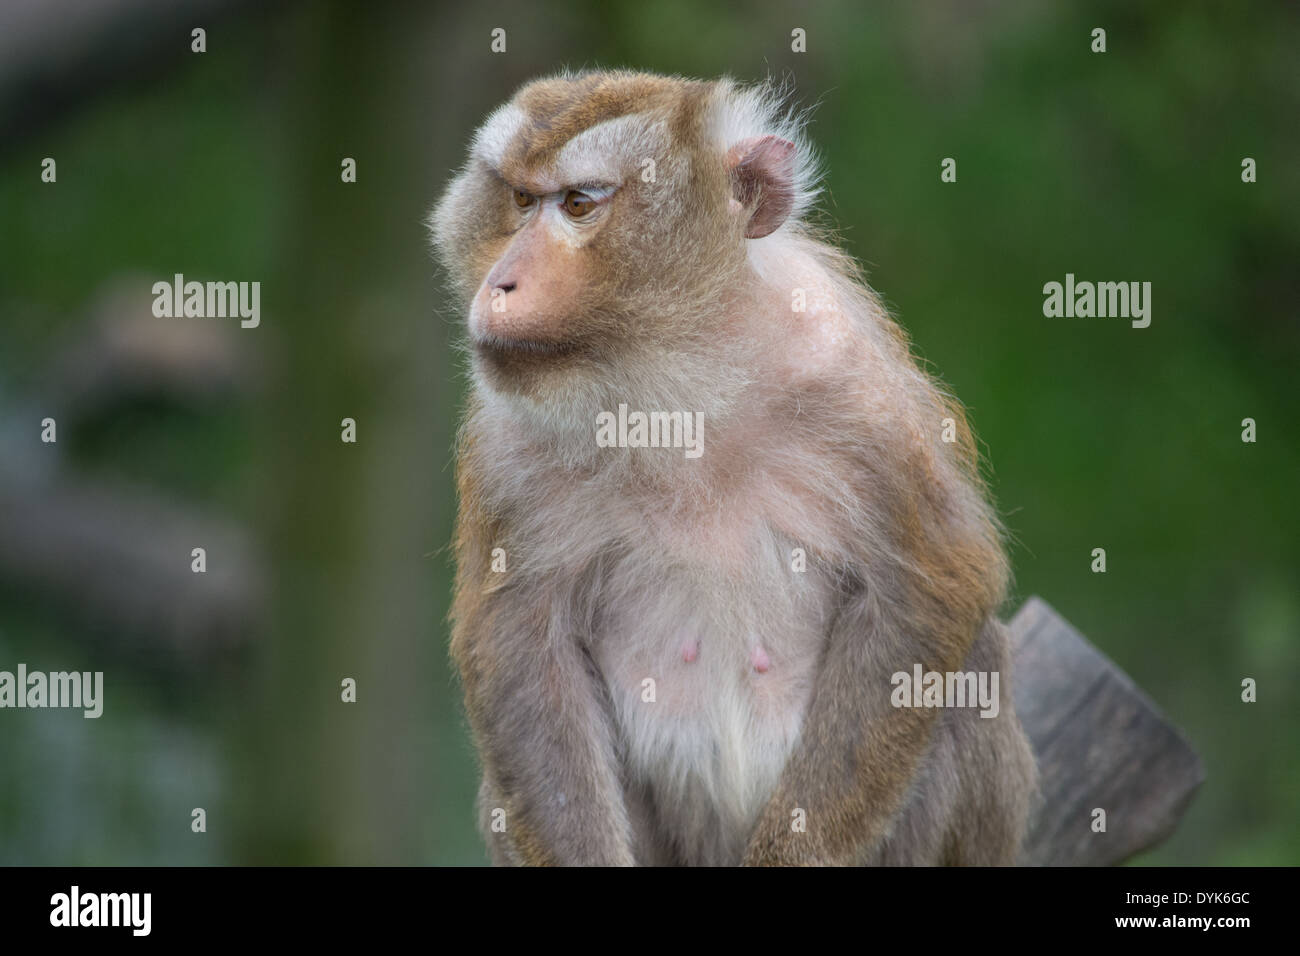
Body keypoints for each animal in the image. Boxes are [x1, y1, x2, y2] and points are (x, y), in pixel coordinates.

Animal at [431, 70, 1037, 866]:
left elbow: (932, 584)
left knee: (971, 671)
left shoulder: (853, 378)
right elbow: (520, 649)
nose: (499, 282)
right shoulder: (507, 440)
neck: (678, 388)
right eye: (521, 202)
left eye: (579, 204)